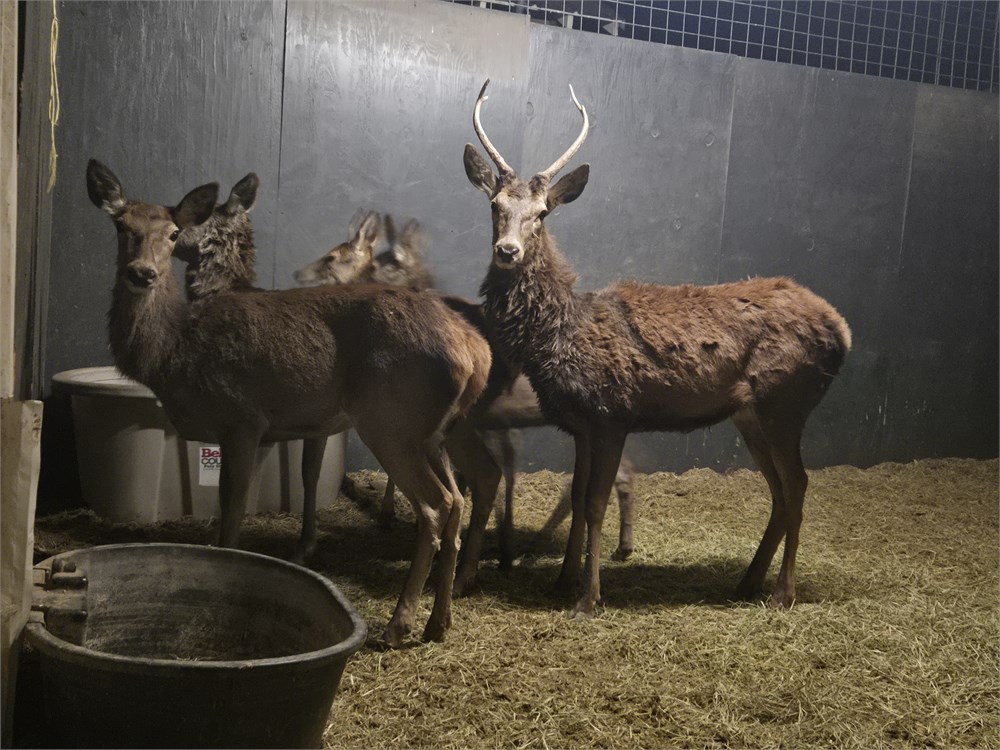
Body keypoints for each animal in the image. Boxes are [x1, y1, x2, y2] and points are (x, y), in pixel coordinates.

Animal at [86, 159, 493, 646]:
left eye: (173, 231)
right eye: (120, 225)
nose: (142, 273)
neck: (174, 352)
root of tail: (477, 352)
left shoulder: (243, 417)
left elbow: (233, 506)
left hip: (389, 420)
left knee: (437, 505)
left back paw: (399, 624)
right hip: (433, 433)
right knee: (457, 499)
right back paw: (439, 621)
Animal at [463, 80, 852, 617]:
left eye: (541, 214)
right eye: (495, 205)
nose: (507, 251)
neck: (562, 335)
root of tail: (842, 330)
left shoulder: (612, 414)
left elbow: (596, 503)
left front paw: (589, 597)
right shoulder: (580, 423)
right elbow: (578, 497)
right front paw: (561, 582)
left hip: (786, 400)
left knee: (796, 485)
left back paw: (783, 592)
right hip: (751, 413)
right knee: (777, 489)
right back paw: (746, 582)